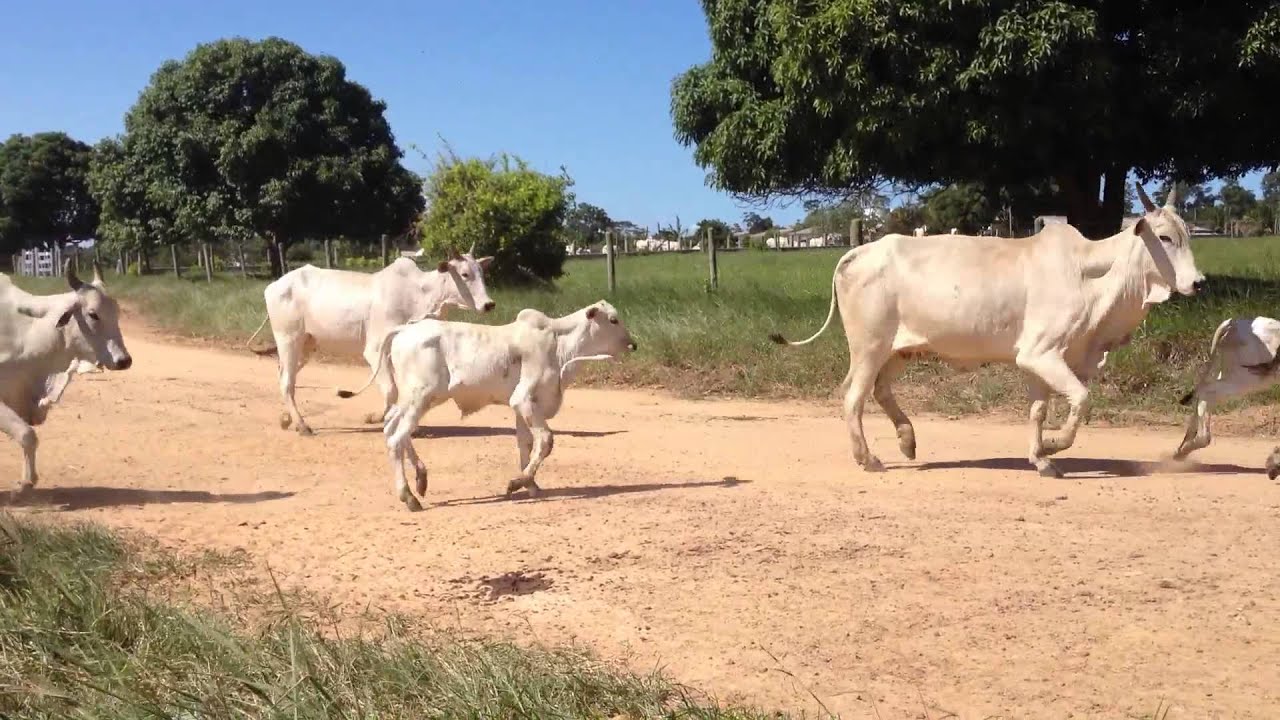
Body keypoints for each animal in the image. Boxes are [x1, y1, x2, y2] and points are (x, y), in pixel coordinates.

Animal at [1, 260, 133, 496]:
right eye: (93, 314)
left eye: (116, 311)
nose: (124, 360)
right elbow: (27, 434)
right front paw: (26, 483)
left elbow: (28, 435)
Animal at [246, 247, 495, 436]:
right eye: (464, 274)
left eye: (481, 273)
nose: (489, 304)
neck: (420, 296)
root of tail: (273, 286)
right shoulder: (375, 350)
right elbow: (391, 390)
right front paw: (376, 417)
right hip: (289, 339)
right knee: (287, 382)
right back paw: (301, 425)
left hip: (307, 345)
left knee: (284, 376)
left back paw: (286, 418)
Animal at [337, 300, 637, 511]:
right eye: (613, 319)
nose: (633, 344)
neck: (558, 345)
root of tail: (405, 329)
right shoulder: (524, 400)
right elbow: (546, 440)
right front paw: (518, 482)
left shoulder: (522, 408)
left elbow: (526, 443)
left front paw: (531, 485)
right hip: (421, 397)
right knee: (396, 439)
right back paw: (409, 497)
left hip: (413, 400)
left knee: (391, 427)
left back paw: (421, 479)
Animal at [768, 183, 1205, 478]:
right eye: (1164, 237)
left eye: (1187, 235)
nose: (1198, 282)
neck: (1093, 275)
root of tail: (859, 251)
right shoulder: (1042, 354)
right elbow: (1081, 400)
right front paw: (1054, 445)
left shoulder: (1039, 362)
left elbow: (1038, 411)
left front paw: (1042, 458)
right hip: (869, 346)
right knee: (853, 396)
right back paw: (869, 458)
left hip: (899, 349)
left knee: (880, 391)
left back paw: (907, 440)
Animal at [1172, 316, 1280, 477]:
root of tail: (1234, 324)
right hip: (1246, 380)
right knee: (1206, 393)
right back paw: (1193, 444)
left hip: (1232, 375)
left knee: (1203, 393)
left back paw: (1183, 447)